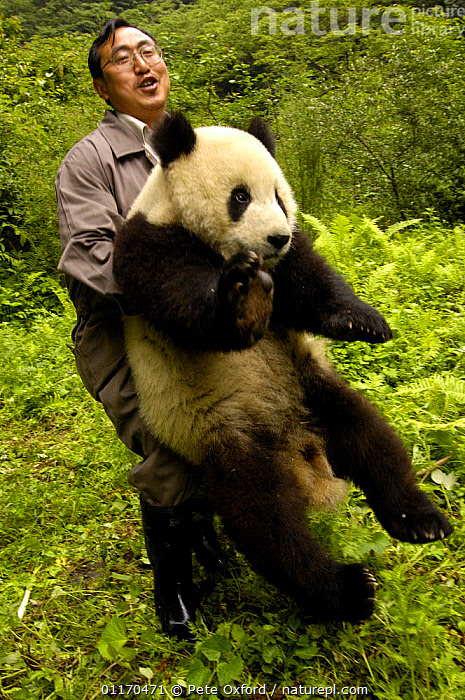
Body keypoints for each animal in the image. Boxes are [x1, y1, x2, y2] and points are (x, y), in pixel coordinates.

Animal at [114, 112, 452, 622]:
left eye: (278, 195)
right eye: (239, 197)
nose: (277, 236)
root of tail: (302, 448)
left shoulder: (291, 261)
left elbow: (309, 281)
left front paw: (362, 320)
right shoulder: (149, 243)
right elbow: (187, 301)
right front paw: (244, 298)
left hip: (311, 386)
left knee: (371, 438)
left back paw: (421, 520)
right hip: (229, 431)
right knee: (266, 520)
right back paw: (347, 589)